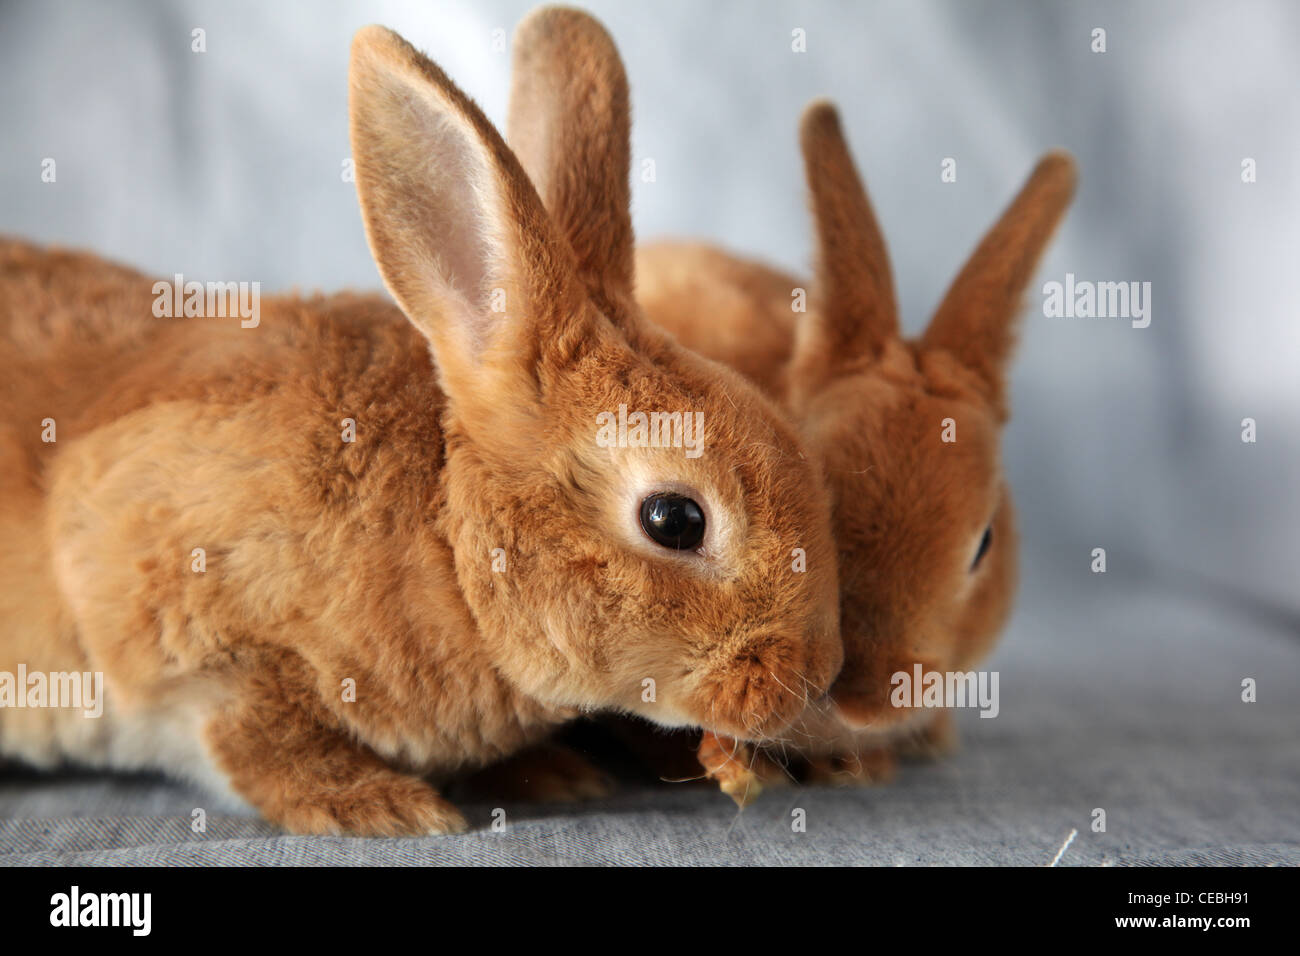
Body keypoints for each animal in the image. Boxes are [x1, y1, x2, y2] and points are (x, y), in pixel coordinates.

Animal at [0, 13, 844, 836]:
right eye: (674, 519)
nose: (815, 676)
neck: (448, 539)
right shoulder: (182, 616)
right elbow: (254, 735)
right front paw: (377, 805)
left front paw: (553, 775)